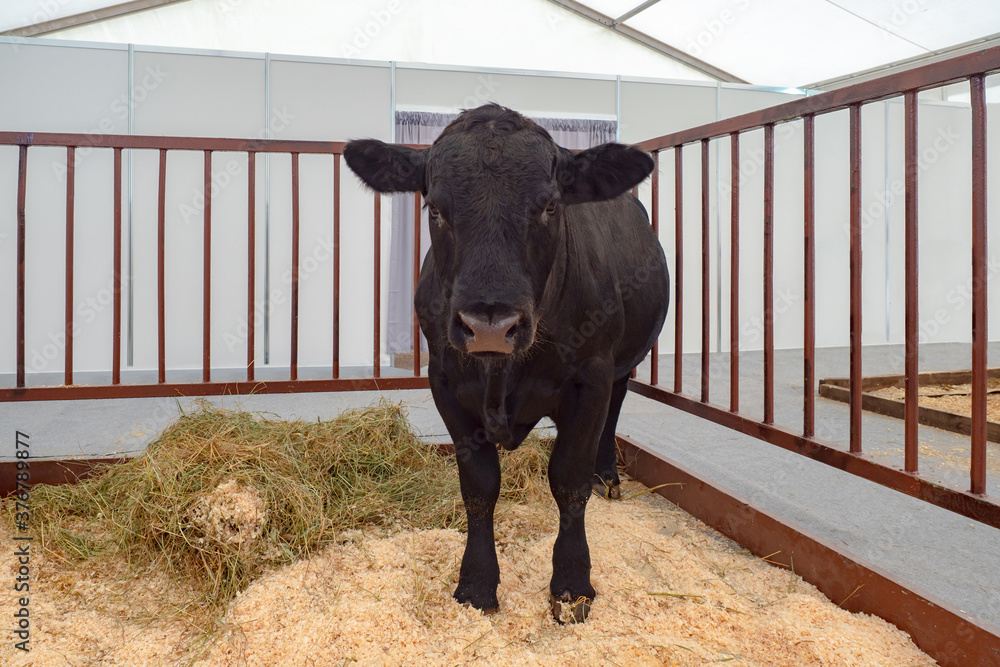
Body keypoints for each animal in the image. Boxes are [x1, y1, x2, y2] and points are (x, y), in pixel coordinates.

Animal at [344, 103, 670, 623]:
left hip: (622, 362)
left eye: (550, 206)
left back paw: (608, 476)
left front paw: (572, 584)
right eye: (435, 208)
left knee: (617, 406)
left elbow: (569, 479)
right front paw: (476, 583)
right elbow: (479, 485)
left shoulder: (591, 376)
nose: (490, 325)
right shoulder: (445, 380)